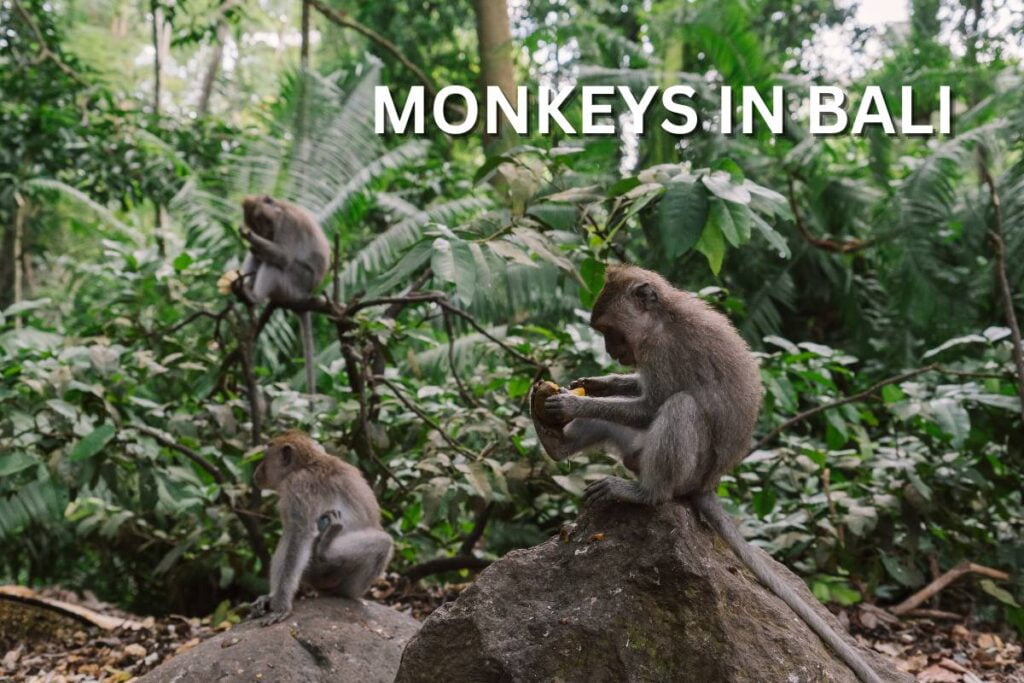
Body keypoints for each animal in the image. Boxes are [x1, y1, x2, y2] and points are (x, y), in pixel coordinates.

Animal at [238, 195, 330, 394]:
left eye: (260, 219)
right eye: (256, 223)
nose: (263, 231)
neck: (281, 209)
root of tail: (307, 295)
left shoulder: (288, 222)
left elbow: (283, 256)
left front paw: (249, 237)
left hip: (296, 283)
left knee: (274, 265)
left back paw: (253, 296)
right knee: (261, 257)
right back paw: (241, 288)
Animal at [249, 430, 393, 626]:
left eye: (264, 457)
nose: (256, 471)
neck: (306, 463)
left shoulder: (297, 486)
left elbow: (300, 535)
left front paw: (281, 605)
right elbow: (291, 535)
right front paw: (271, 597)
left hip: (331, 577)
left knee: (383, 542)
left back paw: (330, 562)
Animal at [531, 264, 883, 683]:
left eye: (609, 330)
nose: (611, 353)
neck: (662, 318)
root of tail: (709, 484)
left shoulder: (661, 350)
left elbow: (650, 407)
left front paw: (572, 402)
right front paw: (598, 383)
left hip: (687, 470)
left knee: (681, 407)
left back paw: (644, 493)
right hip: (636, 451)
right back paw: (556, 444)